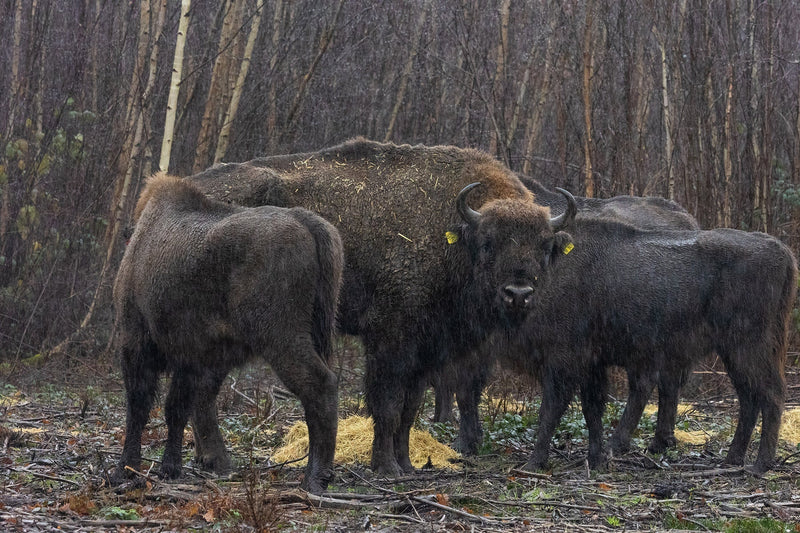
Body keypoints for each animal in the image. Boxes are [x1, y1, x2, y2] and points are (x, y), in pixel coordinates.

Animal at [111, 172, 344, 493]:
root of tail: (305, 221)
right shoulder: (191, 358)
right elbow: (176, 409)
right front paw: (170, 468)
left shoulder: (135, 344)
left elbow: (139, 407)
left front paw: (125, 469)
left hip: (281, 338)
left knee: (320, 384)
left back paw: (315, 477)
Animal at [189, 137, 577, 476]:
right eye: (488, 242)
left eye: (545, 246)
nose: (518, 293)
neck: (453, 236)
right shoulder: (390, 338)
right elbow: (387, 404)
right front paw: (386, 467)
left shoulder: (426, 348)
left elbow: (409, 408)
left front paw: (407, 465)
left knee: (203, 386)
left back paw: (209, 461)